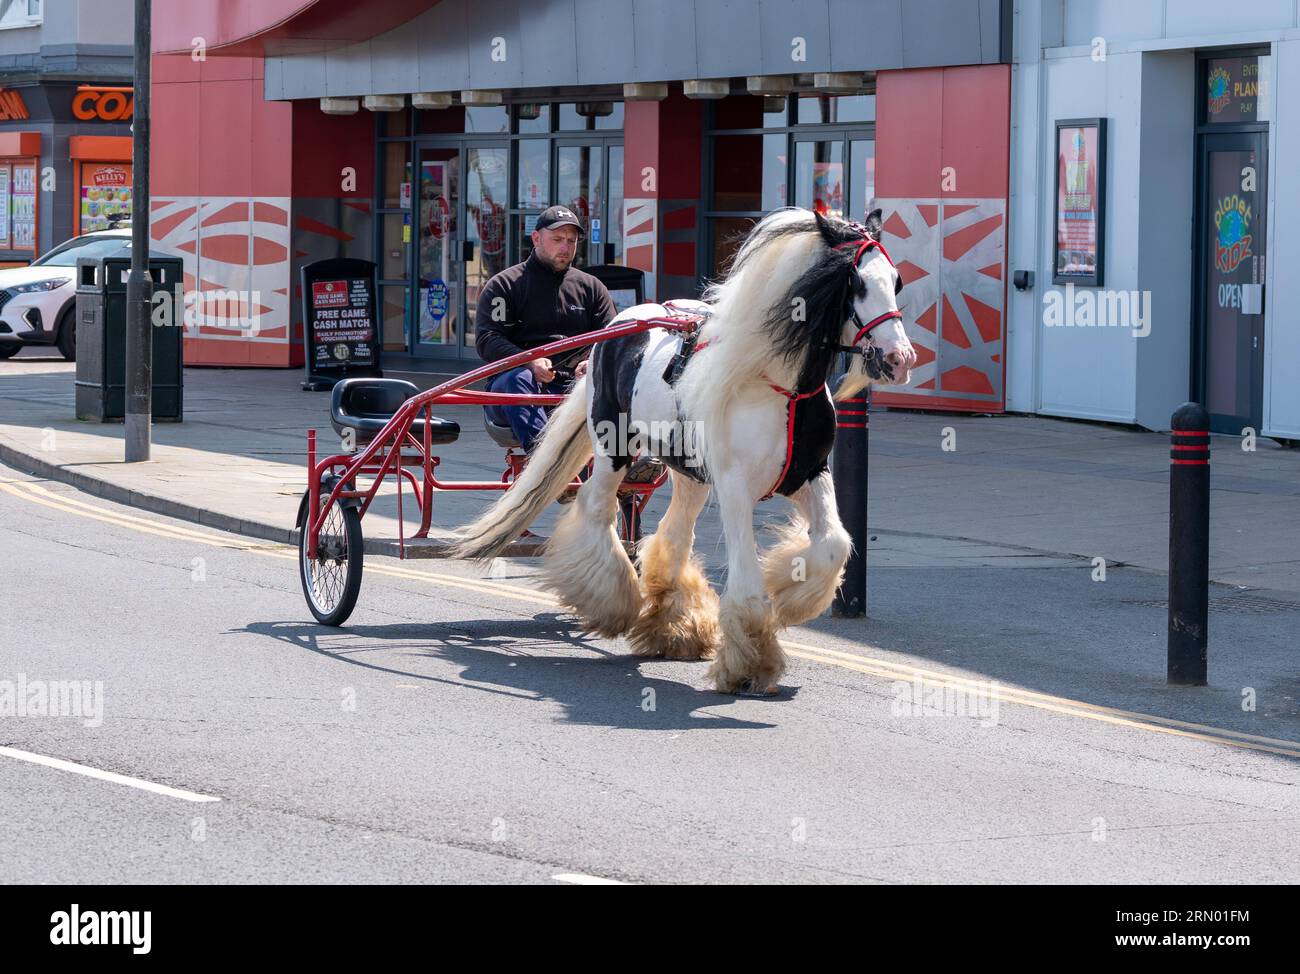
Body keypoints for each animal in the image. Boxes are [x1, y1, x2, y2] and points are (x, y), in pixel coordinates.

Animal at [449, 207, 917, 694]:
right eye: (855, 282)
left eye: (896, 280)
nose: (899, 359)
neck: (776, 385)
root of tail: (620, 324)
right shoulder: (735, 487)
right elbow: (748, 581)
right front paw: (753, 659)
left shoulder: (809, 474)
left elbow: (834, 545)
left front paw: (788, 599)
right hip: (612, 446)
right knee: (597, 506)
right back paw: (611, 602)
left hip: (688, 473)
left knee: (673, 535)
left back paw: (673, 626)